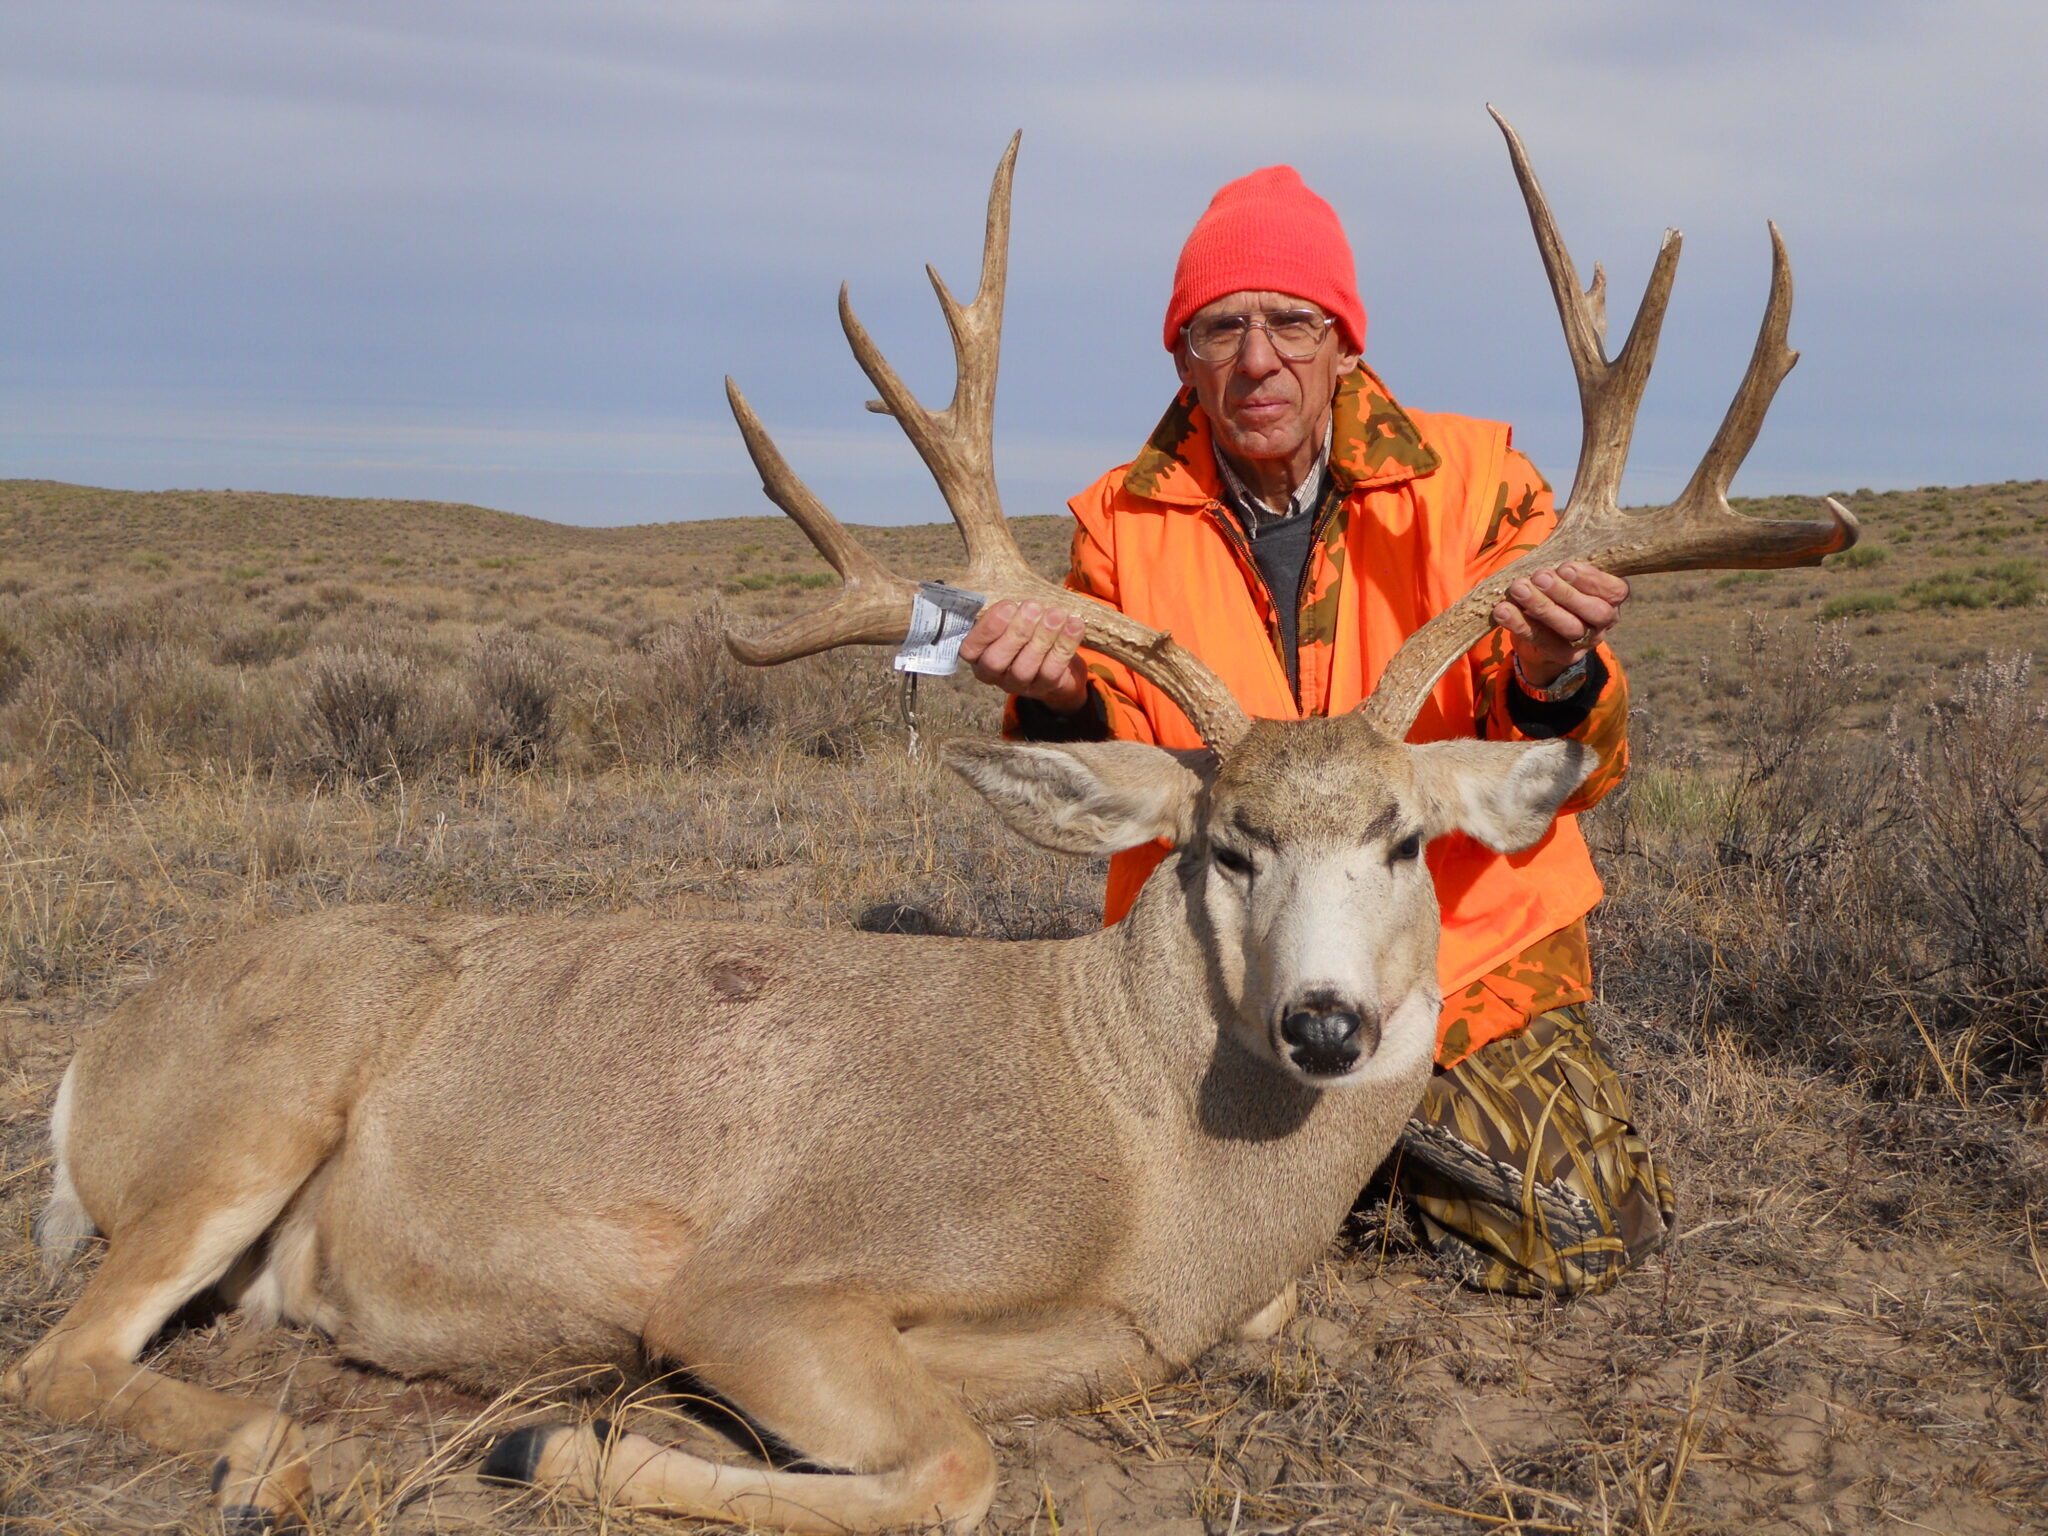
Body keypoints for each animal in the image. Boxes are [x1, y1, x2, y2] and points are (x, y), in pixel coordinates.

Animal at [5, 111, 1854, 1534]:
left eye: (1405, 840)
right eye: (1226, 845)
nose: (1324, 1025)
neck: (1147, 1175)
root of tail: (97, 1050)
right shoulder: (754, 1279)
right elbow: (954, 1467)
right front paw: (560, 1438)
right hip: (259, 1100)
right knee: (64, 1357)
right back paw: (277, 1452)